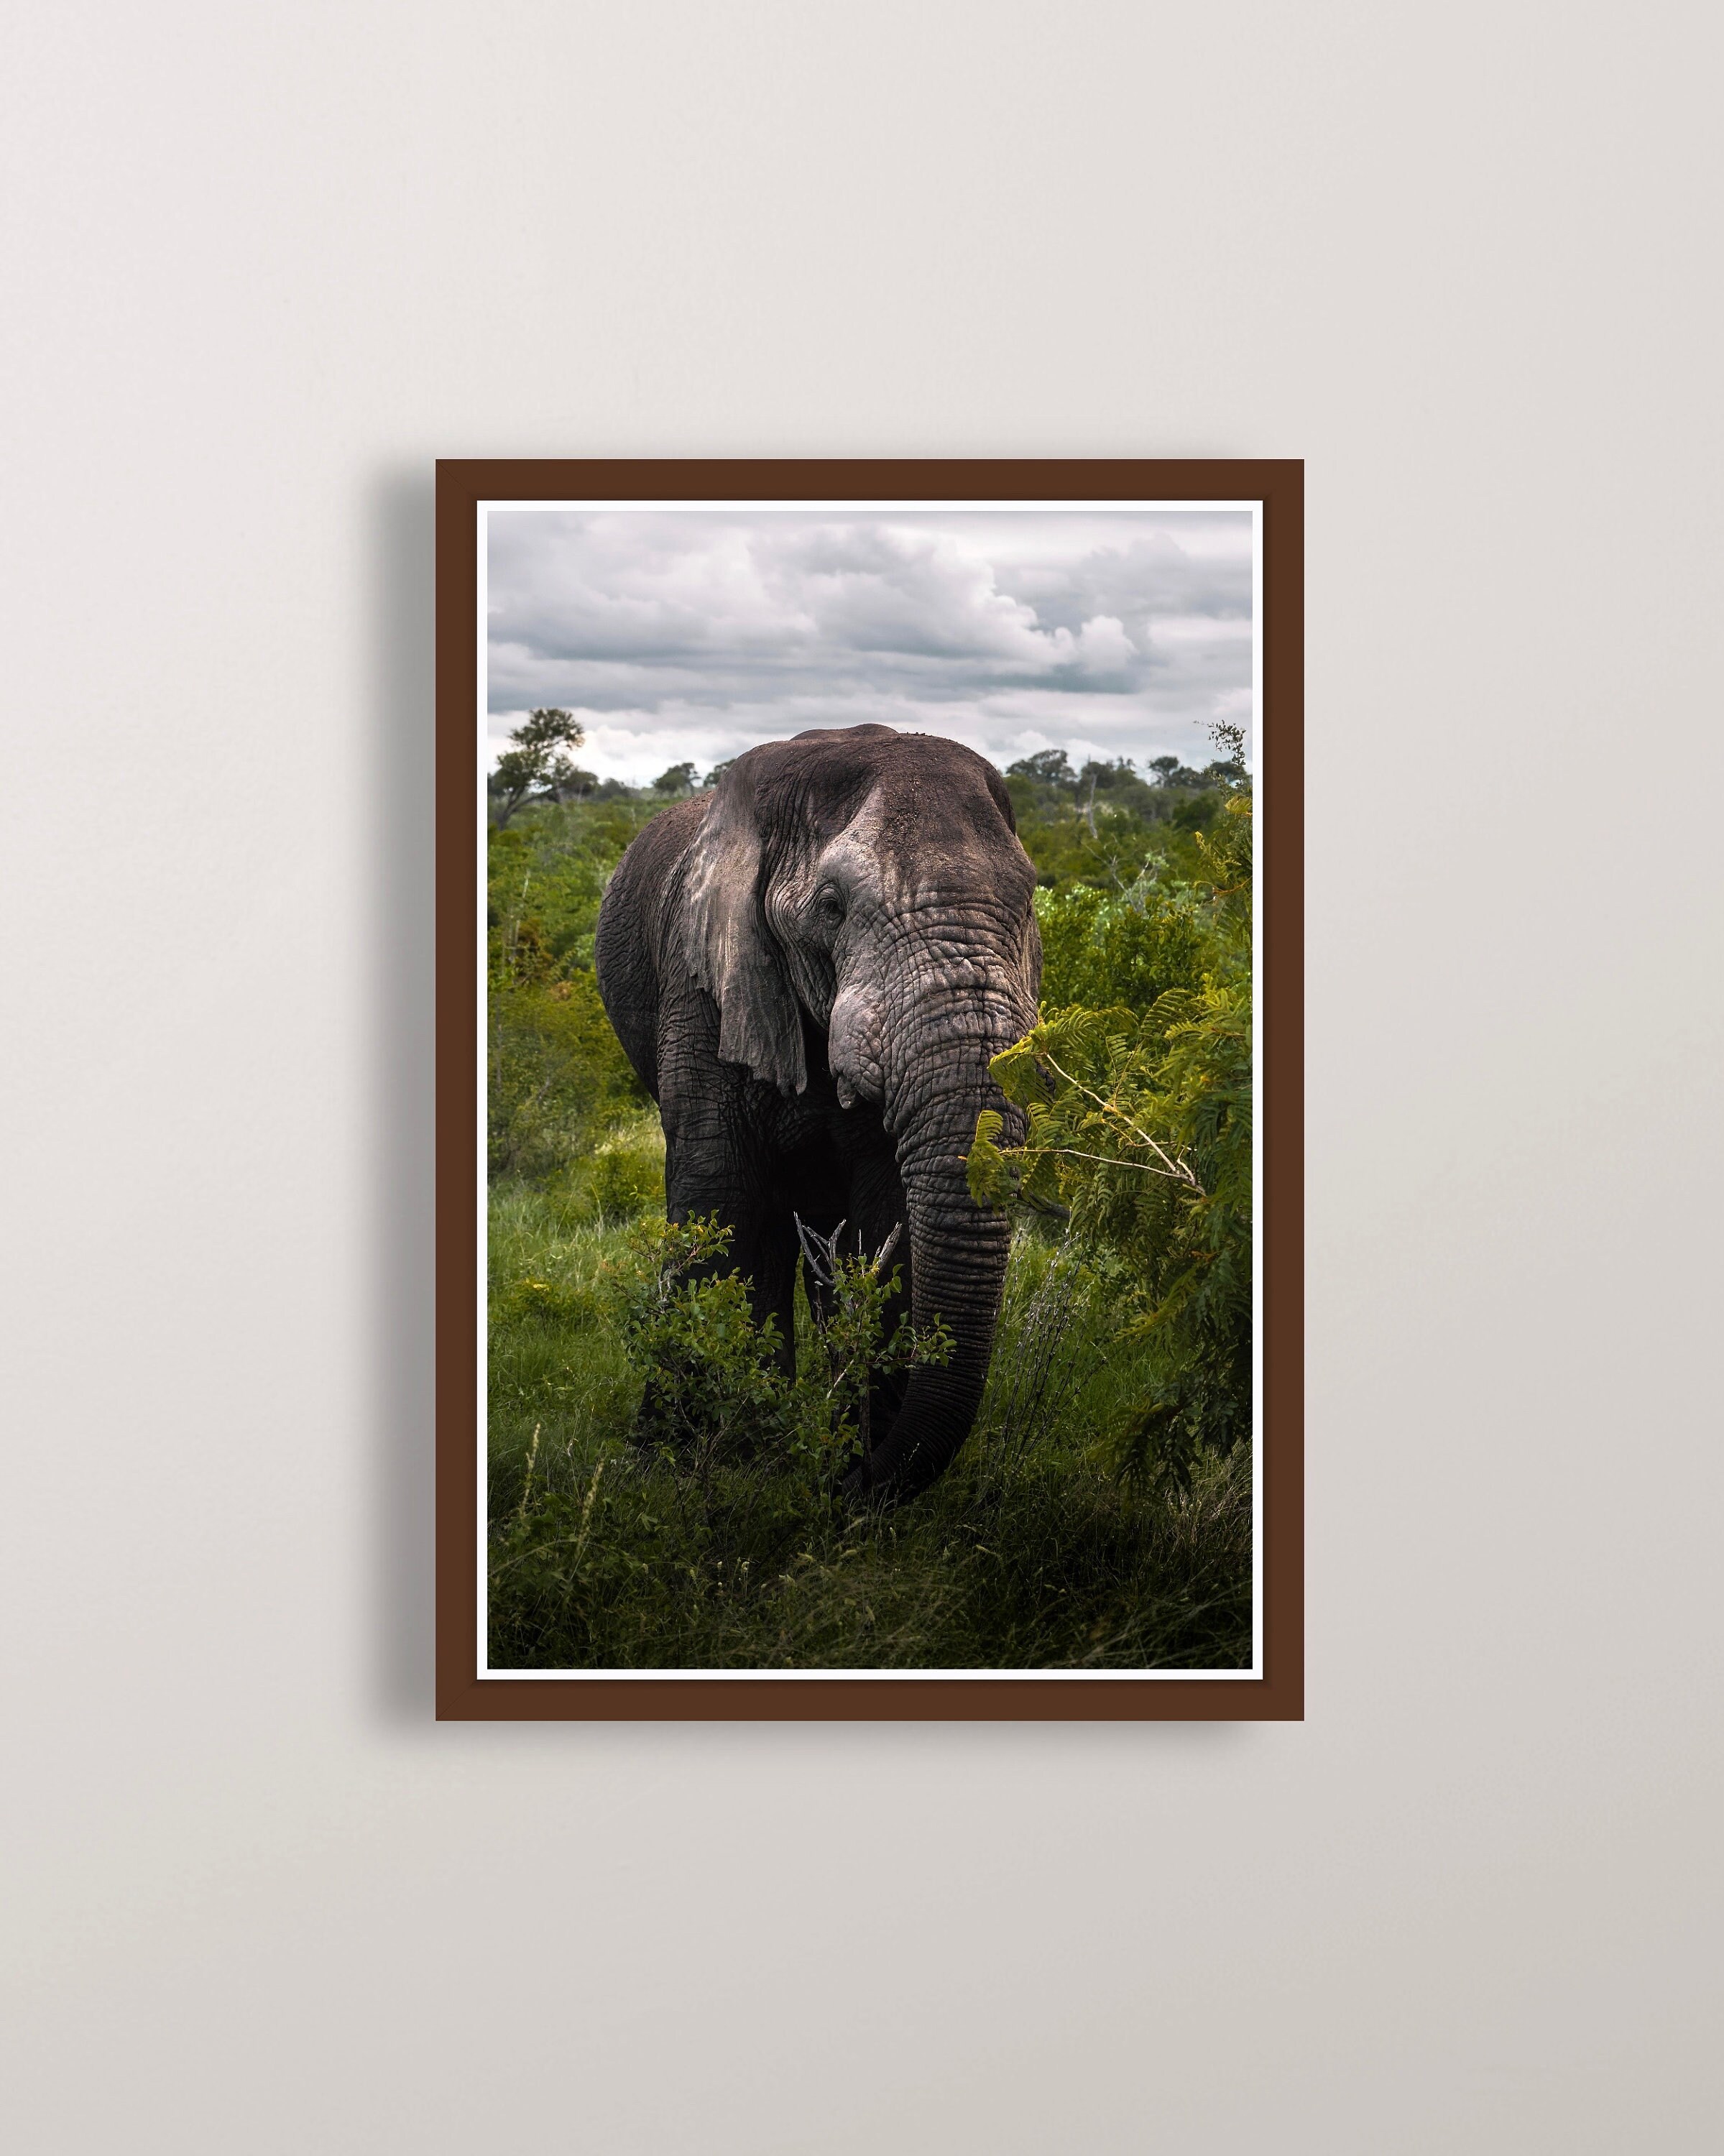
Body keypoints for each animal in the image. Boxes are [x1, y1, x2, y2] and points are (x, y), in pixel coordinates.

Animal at [594, 722, 1042, 1499]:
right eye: (831, 907)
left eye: (1030, 901)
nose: (851, 1484)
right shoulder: (703, 980)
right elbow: (720, 1191)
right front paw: (674, 1468)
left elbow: (883, 1208)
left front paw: (843, 1456)